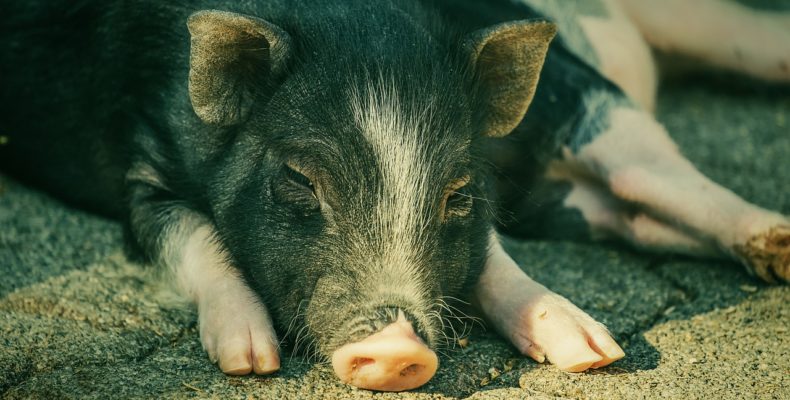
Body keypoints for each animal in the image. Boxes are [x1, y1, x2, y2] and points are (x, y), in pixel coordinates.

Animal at [1, 0, 788, 392]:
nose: (399, 349)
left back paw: (772, 248)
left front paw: (592, 353)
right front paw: (248, 361)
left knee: (646, 157)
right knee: (633, 207)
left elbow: (488, 250)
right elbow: (189, 235)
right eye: (298, 178)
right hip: (574, 200)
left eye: (456, 191)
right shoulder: (137, 167)